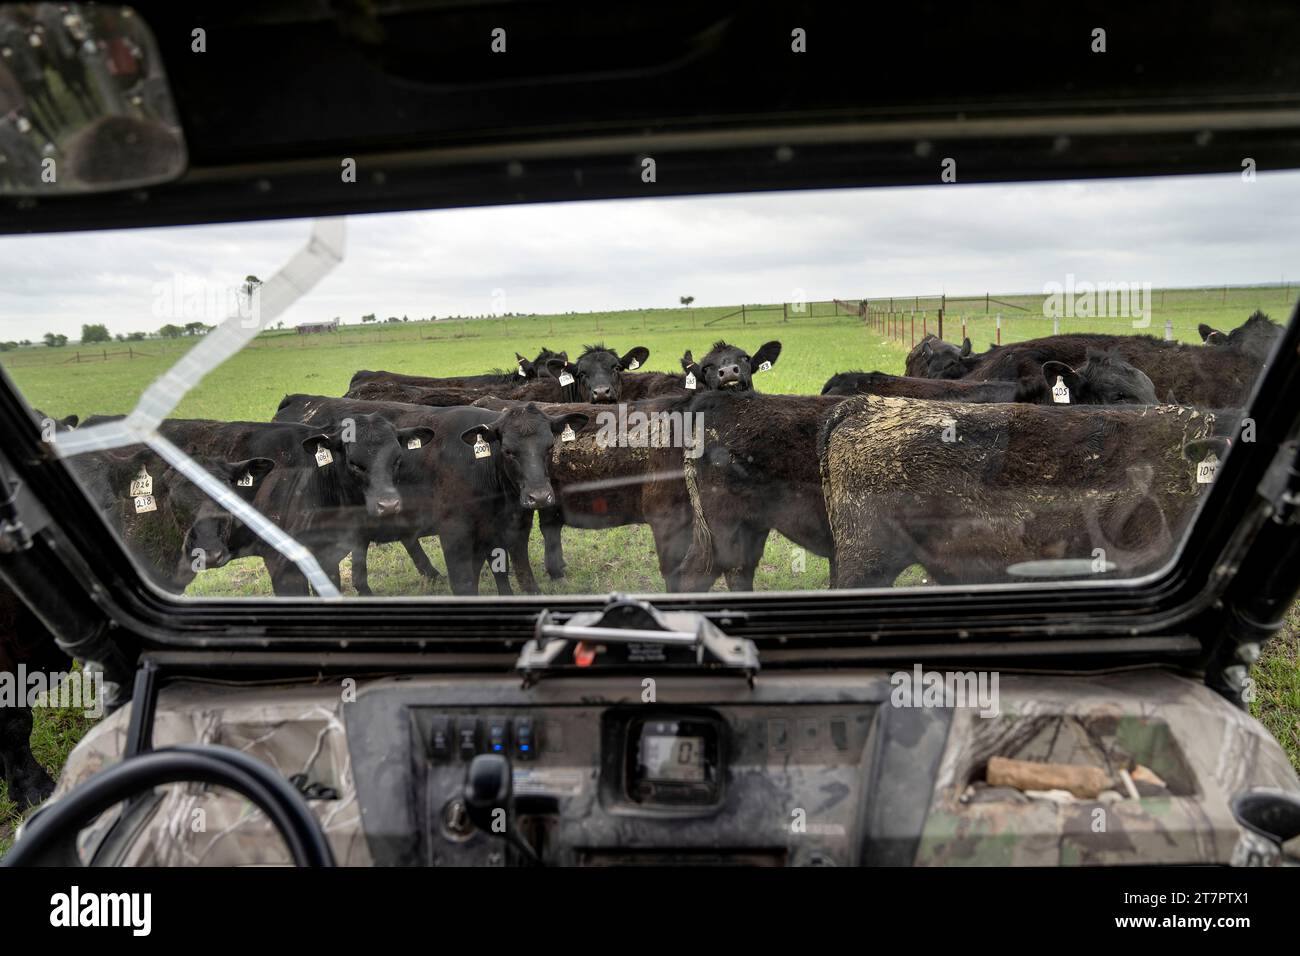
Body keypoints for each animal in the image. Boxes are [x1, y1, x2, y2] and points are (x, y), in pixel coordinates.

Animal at [275, 395, 586, 595]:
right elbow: (464, 584)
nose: (539, 496)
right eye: (509, 451)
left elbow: (515, 574)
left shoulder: (512, 526)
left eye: (549, 446)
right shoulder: (455, 532)